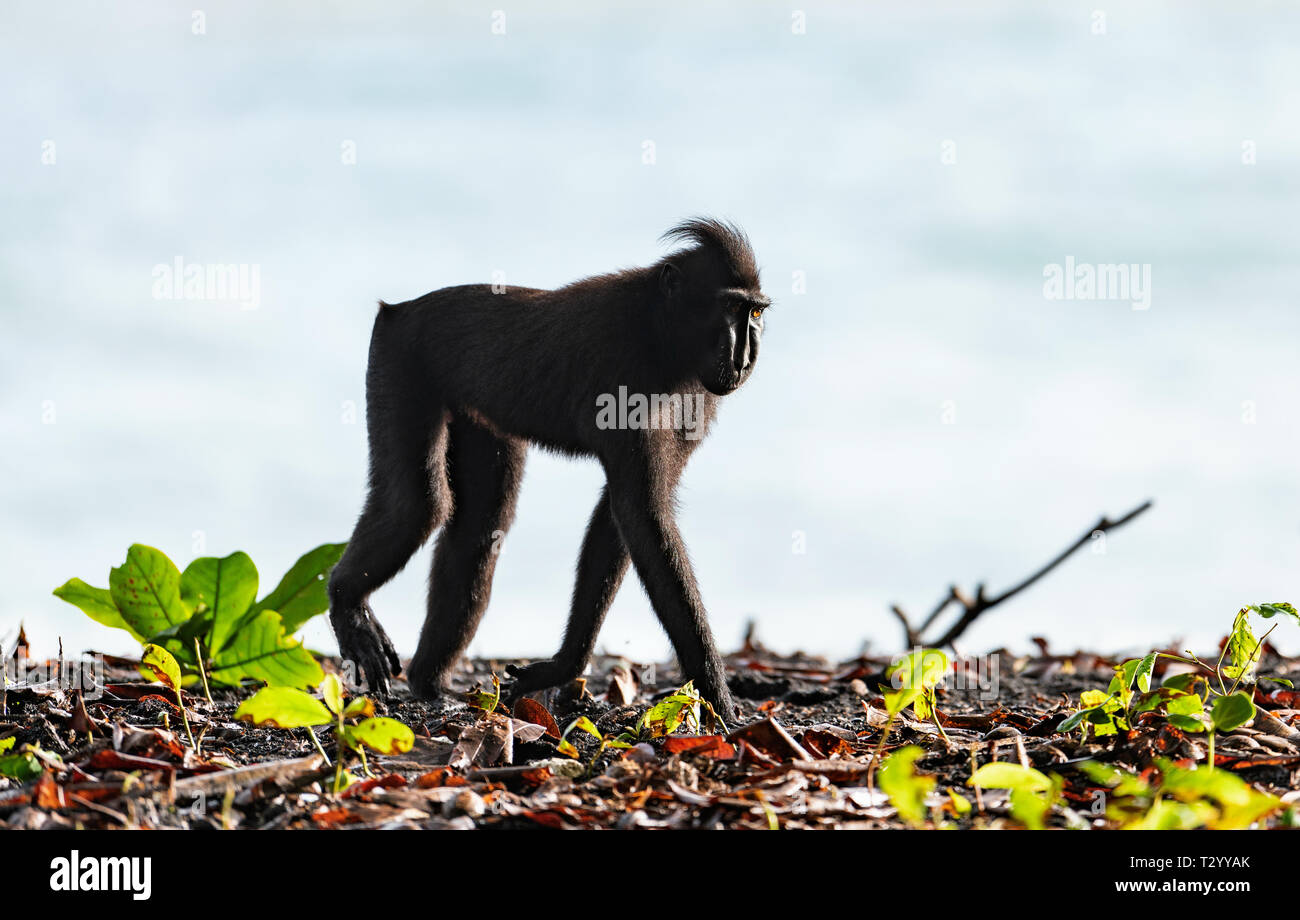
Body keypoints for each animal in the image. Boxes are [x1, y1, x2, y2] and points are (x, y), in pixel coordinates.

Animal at [326, 218, 770, 719]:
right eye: (731, 308)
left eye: (755, 313)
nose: (745, 355)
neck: (661, 330)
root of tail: (401, 308)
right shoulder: (624, 372)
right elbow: (642, 516)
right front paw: (720, 705)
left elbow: (617, 518)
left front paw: (562, 667)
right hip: (398, 355)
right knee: (419, 504)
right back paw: (347, 602)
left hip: (474, 409)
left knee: (480, 525)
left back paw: (428, 683)